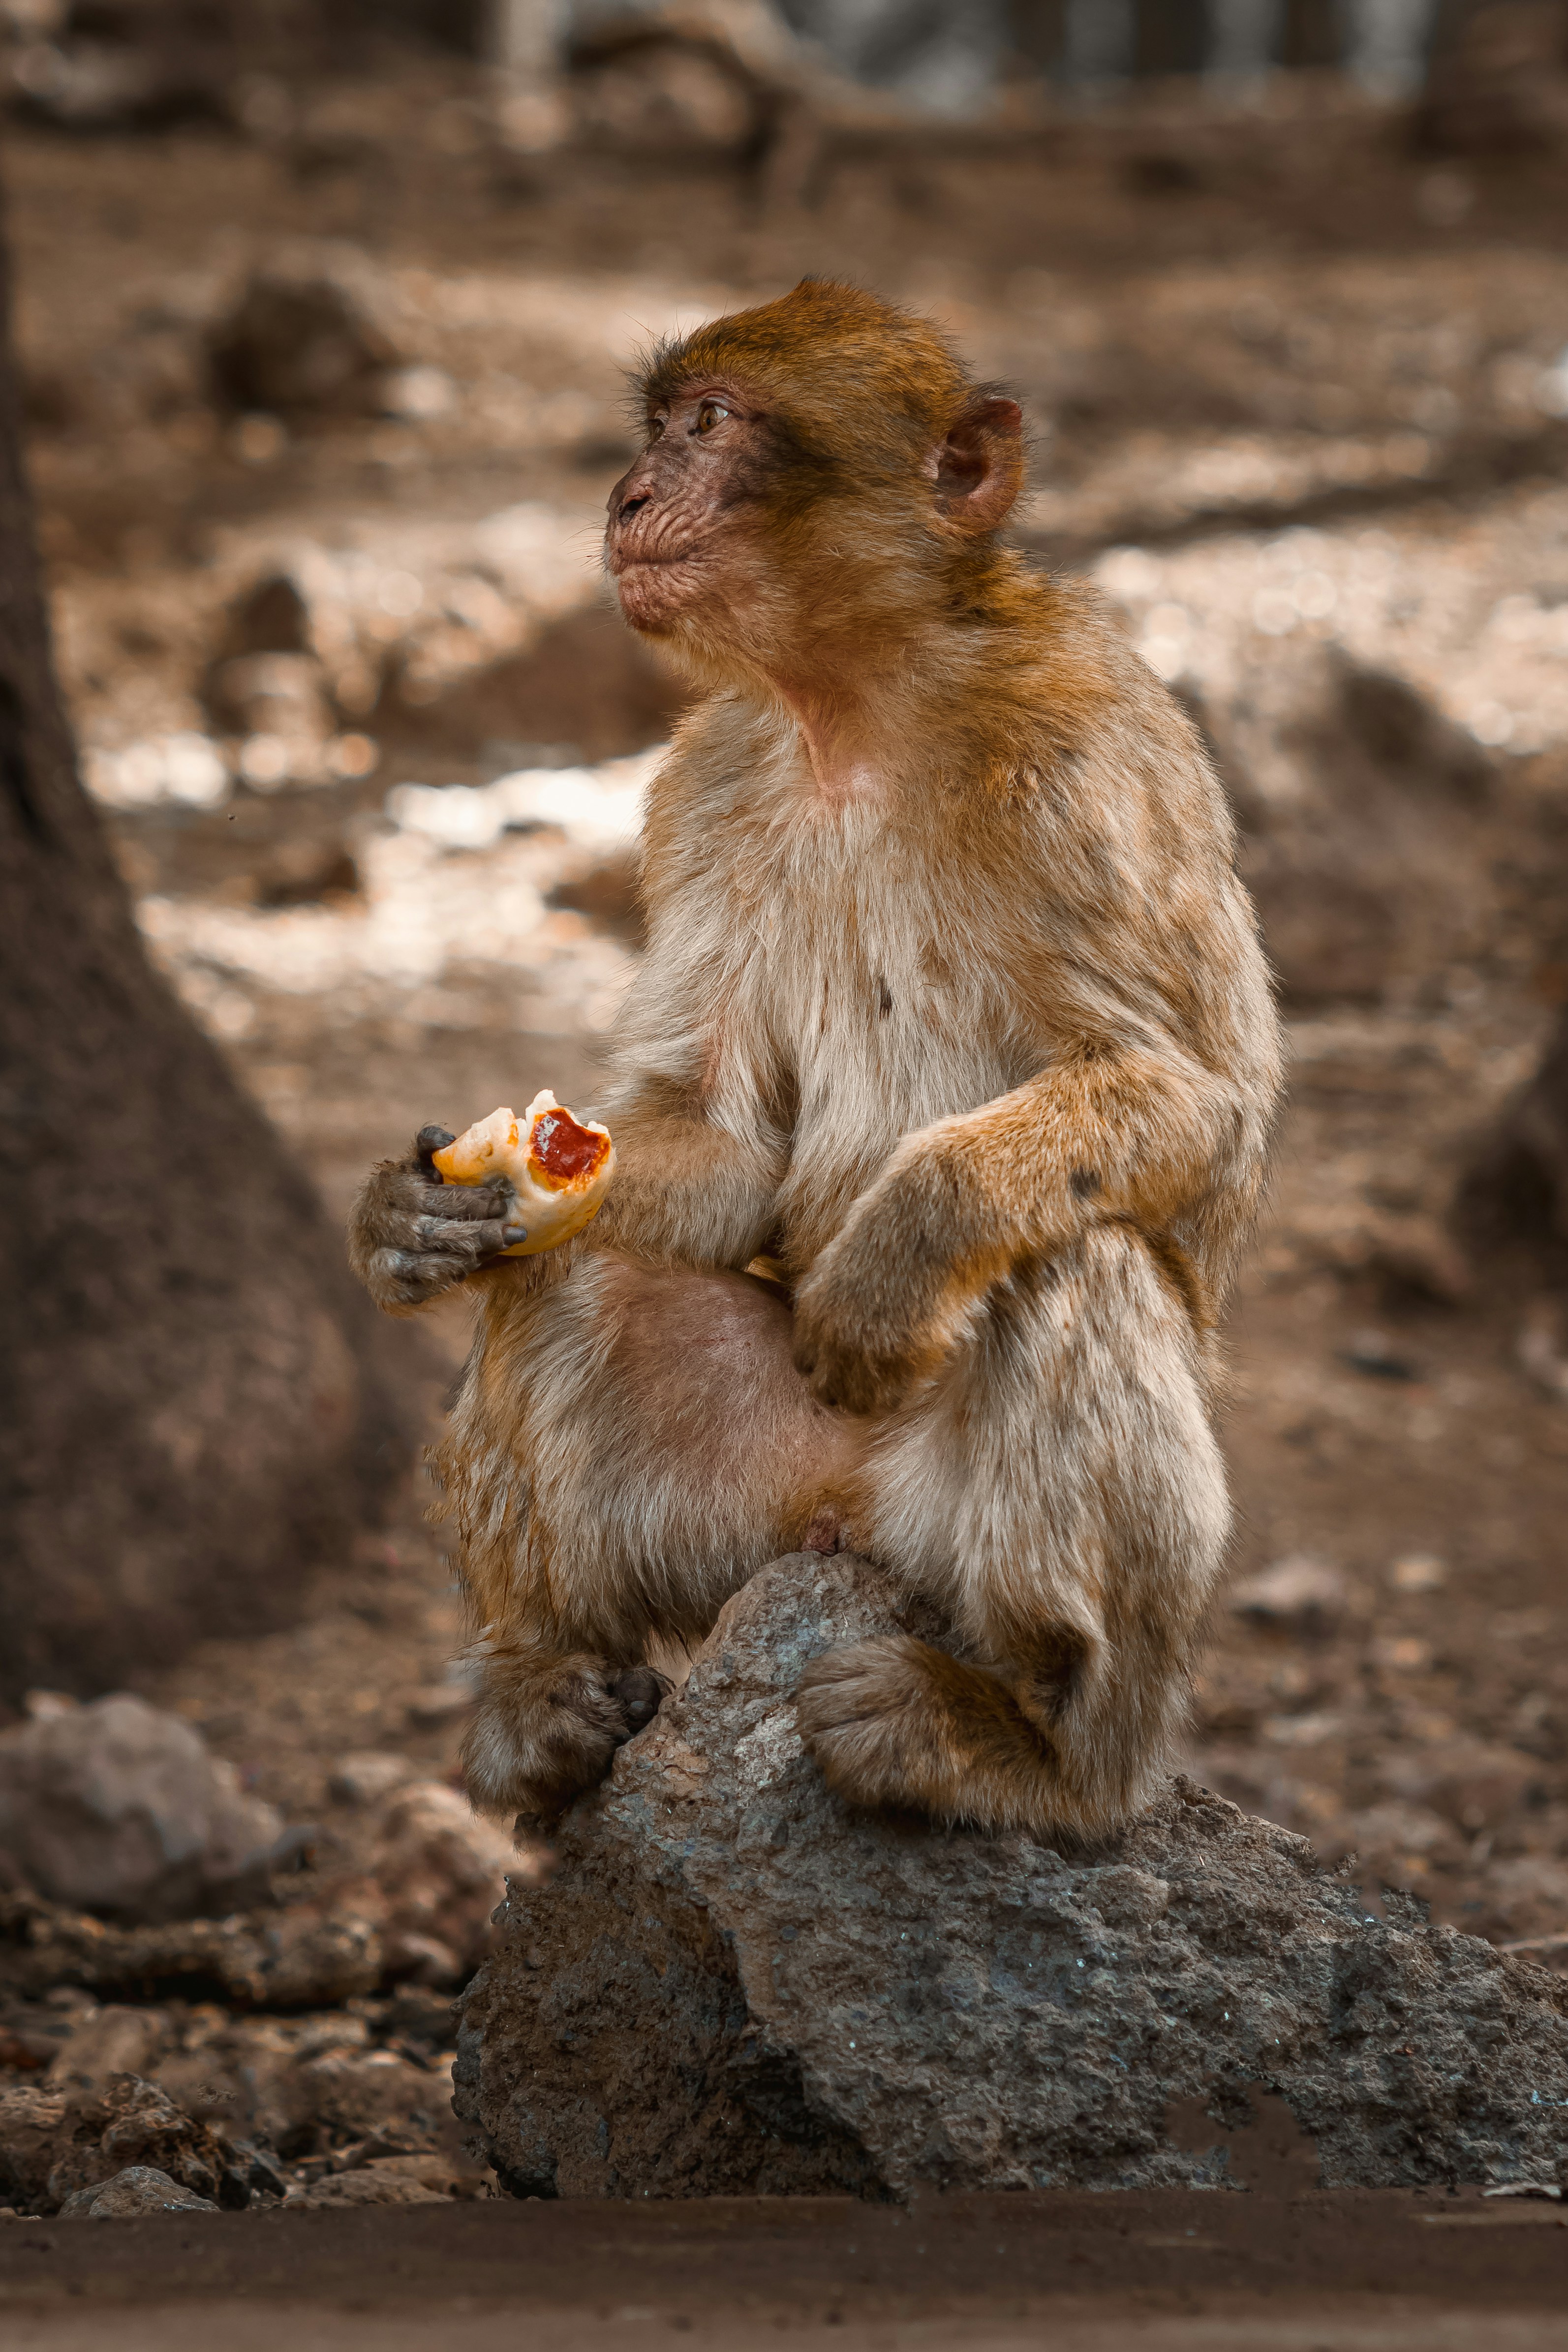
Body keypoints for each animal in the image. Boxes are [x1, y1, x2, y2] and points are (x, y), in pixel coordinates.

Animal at [348, 278, 1283, 1844]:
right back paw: (544, 1691)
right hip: (745, 1512)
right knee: (572, 1274)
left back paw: (1043, 1751)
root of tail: (847, 1518)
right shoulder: (703, 783)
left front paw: (903, 1241)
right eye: (663, 422)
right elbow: (713, 1141)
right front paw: (410, 1214)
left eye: (713, 423)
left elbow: (1198, 1102)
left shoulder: (1085, 749)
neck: (855, 704)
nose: (628, 493)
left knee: (1072, 1259)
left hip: (954, 1540)